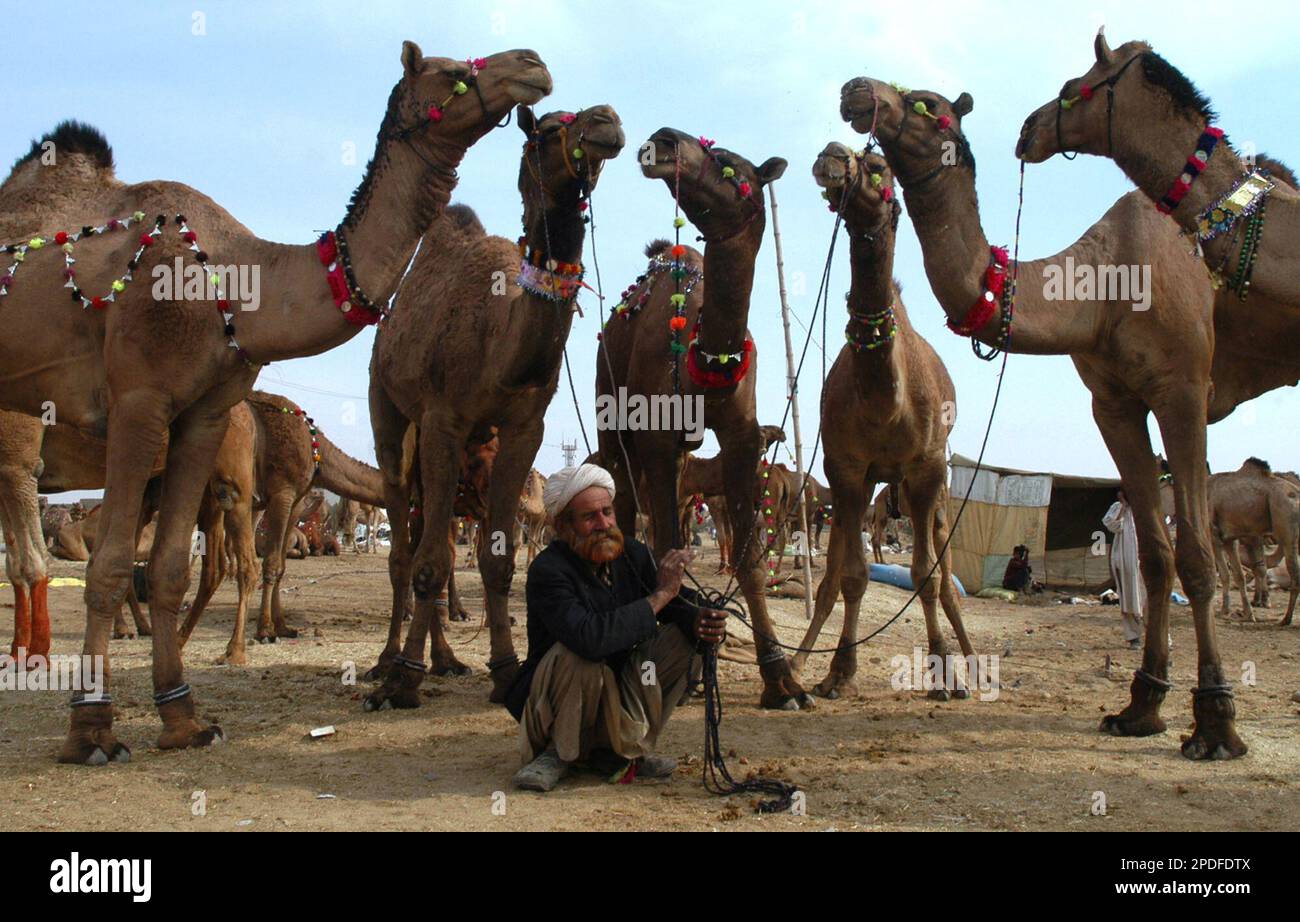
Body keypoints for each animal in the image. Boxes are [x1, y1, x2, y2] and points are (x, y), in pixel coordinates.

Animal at [0, 44, 551, 763]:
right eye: (451, 72)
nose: (533, 64)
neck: (235, 279)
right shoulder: (141, 401)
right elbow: (117, 562)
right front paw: (92, 727)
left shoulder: (205, 414)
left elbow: (172, 566)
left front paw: (183, 719)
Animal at [363, 103, 624, 710]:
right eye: (548, 130)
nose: (608, 121)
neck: (497, 338)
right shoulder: (443, 419)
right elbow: (430, 562)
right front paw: (403, 679)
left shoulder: (524, 427)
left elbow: (497, 560)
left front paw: (504, 670)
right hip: (388, 408)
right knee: (403, 547)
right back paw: (389, 662)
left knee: (427, 536)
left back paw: (445, 659)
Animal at [597, 128, 805, 709]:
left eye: (727, 159)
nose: (663, 139)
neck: (706, 356)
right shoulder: (656, 436)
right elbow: (666, 542)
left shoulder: (740, 437)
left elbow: (750, 556)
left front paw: (782, 679)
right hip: (611, 418)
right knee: (626, 509)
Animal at [788, 144, 973, 698]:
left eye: (879, 166)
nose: (832, 156)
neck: (886, 401)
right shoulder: (845, 469)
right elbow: (851, 576)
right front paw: (836, 673)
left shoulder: (927, 467)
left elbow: (927, 576)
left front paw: (943, 672)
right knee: (832, 574)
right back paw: (798, 664)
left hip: (932, 494)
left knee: (945, 573)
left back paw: (967, 663)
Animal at [839, 76, 1299, 759]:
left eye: (928, 104)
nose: (857, 90)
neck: (1101, 287)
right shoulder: (1113, 402)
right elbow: (1156, 555)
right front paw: (1141, 706)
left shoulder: (1184, 388)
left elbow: (1195, 555)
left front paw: (1217, 721)